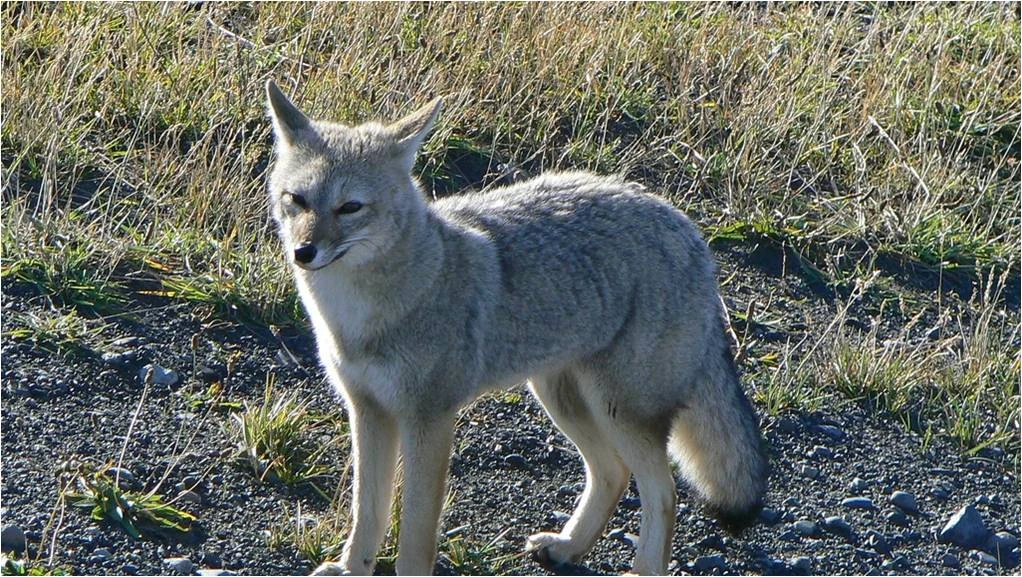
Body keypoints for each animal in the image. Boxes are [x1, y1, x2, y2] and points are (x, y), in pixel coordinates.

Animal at [264, 80, 767, 576]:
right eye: (298, 200)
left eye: (350, 207)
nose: (303, 252)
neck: (360, 315)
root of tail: (686, 226)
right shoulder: (367, 409)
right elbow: (367, 509)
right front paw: (353, 568)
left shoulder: (429, 419)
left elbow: (415, 534)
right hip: (562, 398)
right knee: (613, 473)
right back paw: (568, 546)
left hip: (618, 410)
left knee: (663, 493)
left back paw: (640, 567)